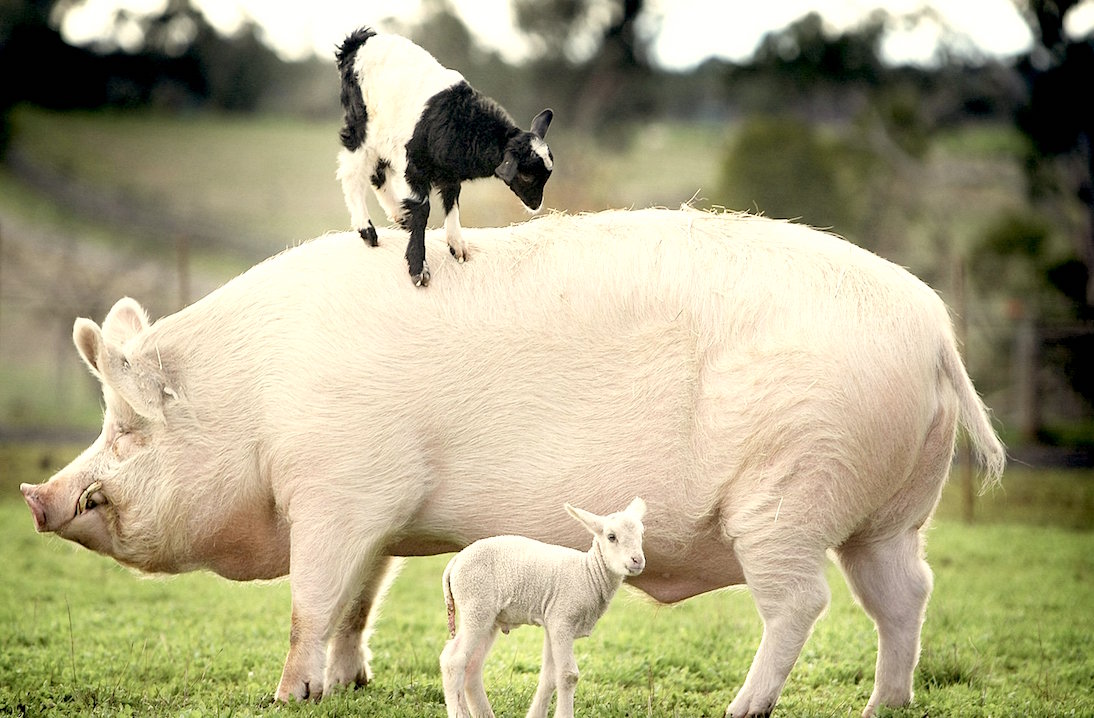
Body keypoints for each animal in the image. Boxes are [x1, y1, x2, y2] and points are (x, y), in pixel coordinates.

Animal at [335, 26, 555, 287]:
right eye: (528, 176)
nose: (536, 205)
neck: (464, 124)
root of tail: (358, 41)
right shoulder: (413, 167)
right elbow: (422, 210)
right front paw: (418, 268)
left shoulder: (449, 173)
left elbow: (452, 200)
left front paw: (457, 245)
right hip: (362, 126)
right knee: (352, 173)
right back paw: (367, 231)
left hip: (384, 136)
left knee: (377, 172)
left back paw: (399, 214)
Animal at [440, 497, 647, 718]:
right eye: (611, 537)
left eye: (641, 534)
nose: (637, 560)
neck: (588, 573)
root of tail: (455, 561)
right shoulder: (562, 620)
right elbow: (568, 675)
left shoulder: (552, 622)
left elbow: (549, 677)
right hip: (475, 606)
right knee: (453, 660)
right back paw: (459, 712)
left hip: (489, 618)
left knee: (472, 665)